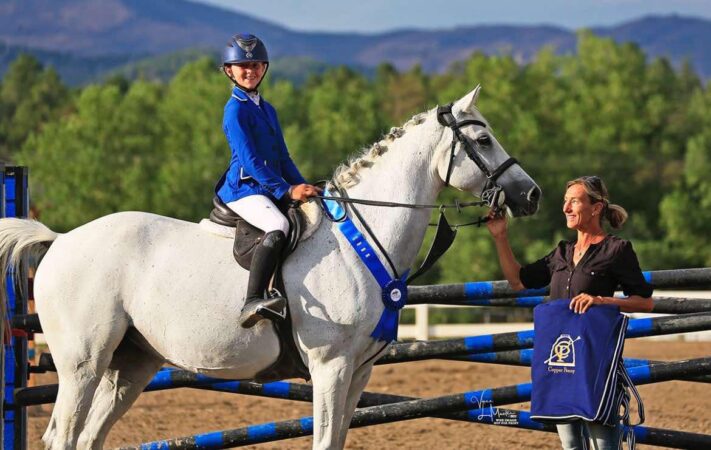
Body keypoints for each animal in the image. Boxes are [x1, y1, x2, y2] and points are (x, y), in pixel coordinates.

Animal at [0, 85, 540, 449]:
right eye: (484, 140)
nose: (531, 195)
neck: (362, 239)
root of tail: (62, 239)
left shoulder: (359, 372)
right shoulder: (331, 366)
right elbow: (323, 441)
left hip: (131, 365)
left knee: (87, 436)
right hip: (82, 365)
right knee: (64, 433)